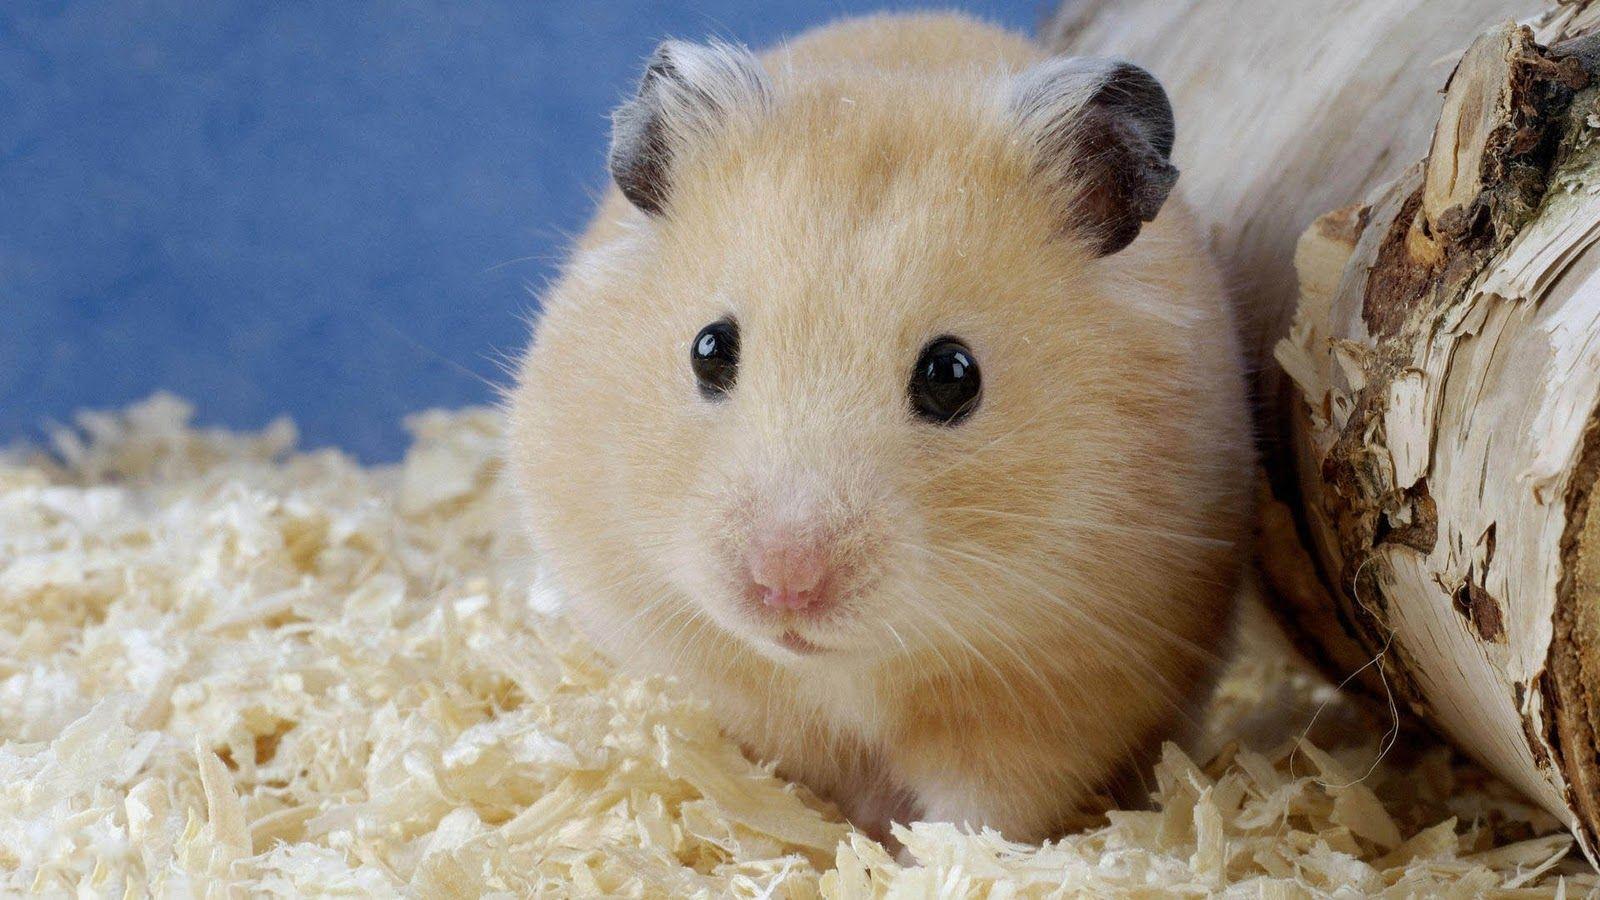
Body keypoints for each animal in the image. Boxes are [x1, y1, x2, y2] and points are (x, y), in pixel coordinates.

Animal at [508, 12, 1253, 842]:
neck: (847, 668)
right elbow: (780, 772)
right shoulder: (711, 671)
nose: (785, 585)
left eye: (952, 375)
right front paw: (825, 836)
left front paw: (909, 854)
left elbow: (982, 810)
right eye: (709, 349)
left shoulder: (1055, 694)